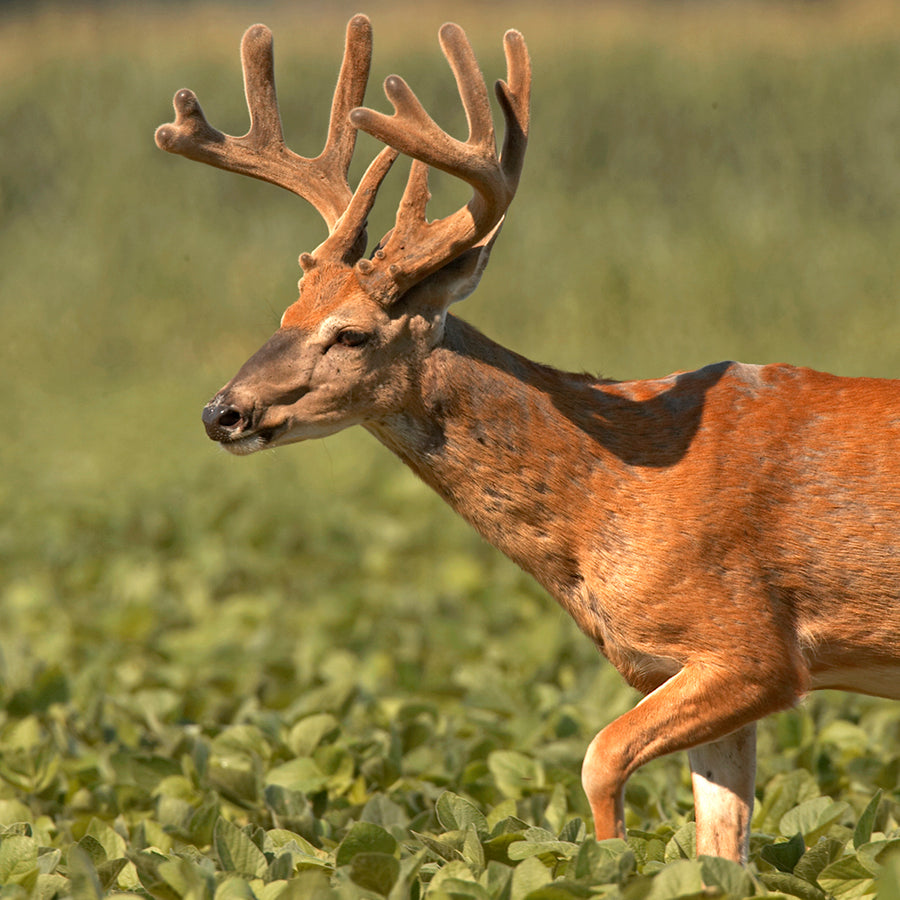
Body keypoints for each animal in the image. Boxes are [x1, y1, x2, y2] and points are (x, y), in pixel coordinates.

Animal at [155, 15, 900, 864]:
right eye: (286, 313)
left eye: (350, 333)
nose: (221, 413)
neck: (615, 489)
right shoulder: (693, 665)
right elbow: (720, 851)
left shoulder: (753, 645)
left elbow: (599, 758)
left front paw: (607, 864)